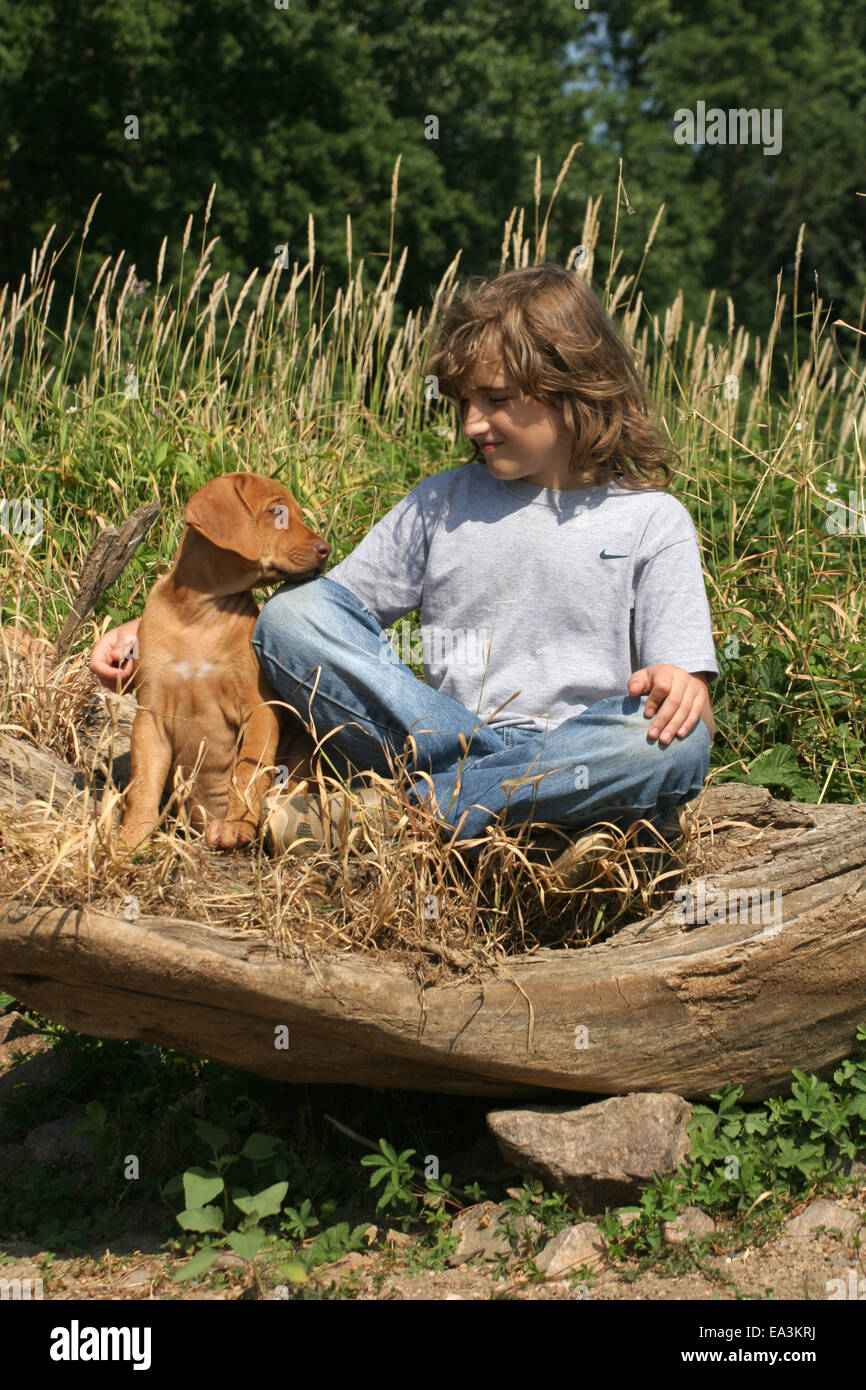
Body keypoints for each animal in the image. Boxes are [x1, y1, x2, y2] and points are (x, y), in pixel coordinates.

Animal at [118, 472, 328, 850]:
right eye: (276, 512)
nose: (326, 549)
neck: (198, 617)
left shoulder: (260, 710)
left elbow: (248, 771)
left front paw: (236, 825)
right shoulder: (150, 718)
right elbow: (143, 784)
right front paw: (131, 836)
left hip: (303, 750)